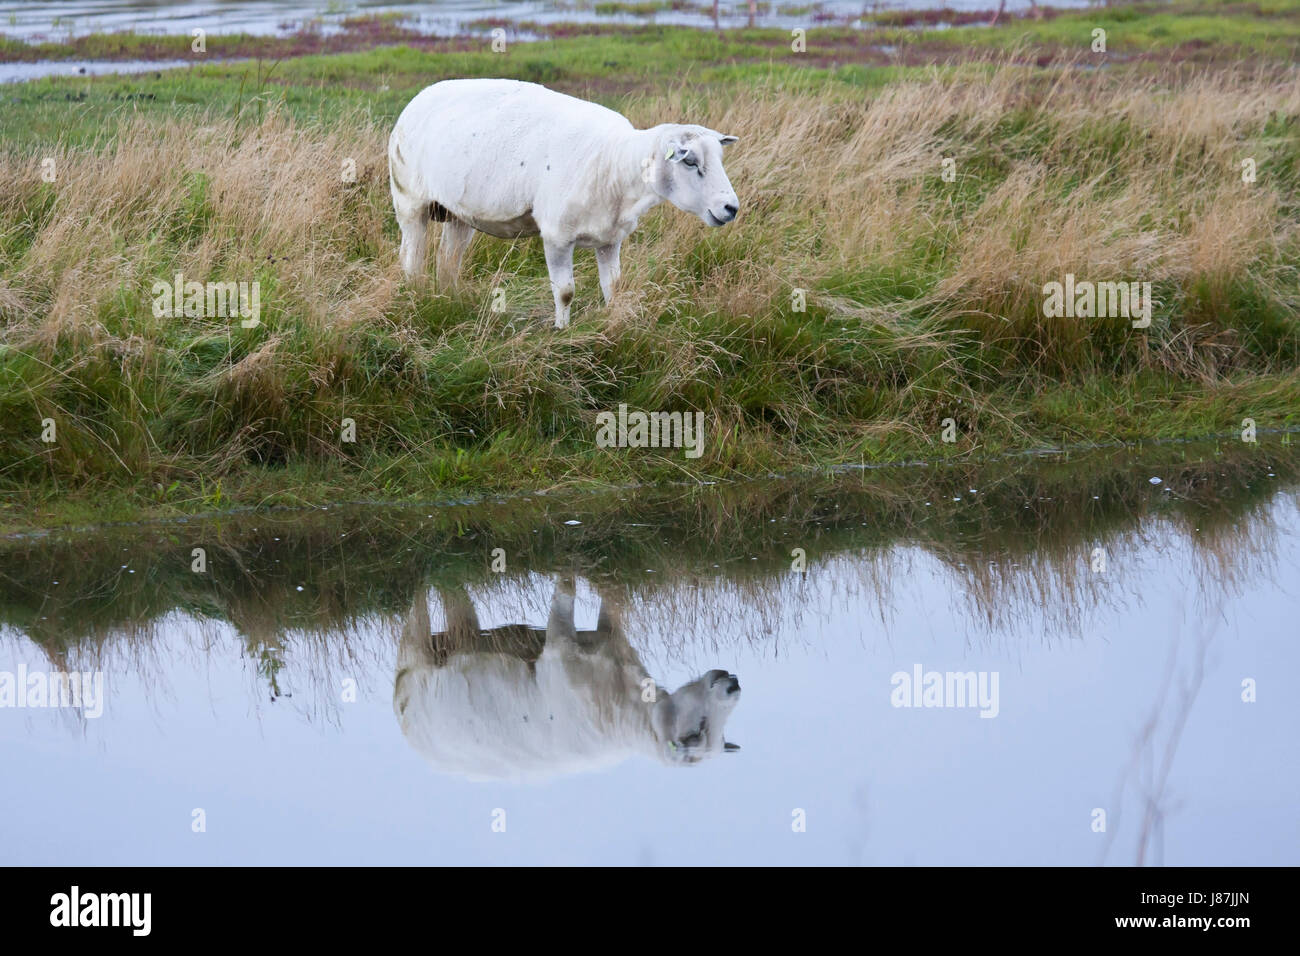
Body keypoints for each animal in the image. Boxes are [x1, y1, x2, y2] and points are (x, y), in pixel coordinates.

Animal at [388, 78, 741, 328]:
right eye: (690, 162)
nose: (731, 209)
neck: (616, 162)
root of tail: (419, 98)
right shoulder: (557, 235)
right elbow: (565, 291)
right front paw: (562, 329)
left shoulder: (610, 239)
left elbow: (613, 286)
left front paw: (611, 321)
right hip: (409, 201)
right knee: (411, 258)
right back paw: (417, 297)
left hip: (459, 214)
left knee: (448, 262)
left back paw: (449, 301)